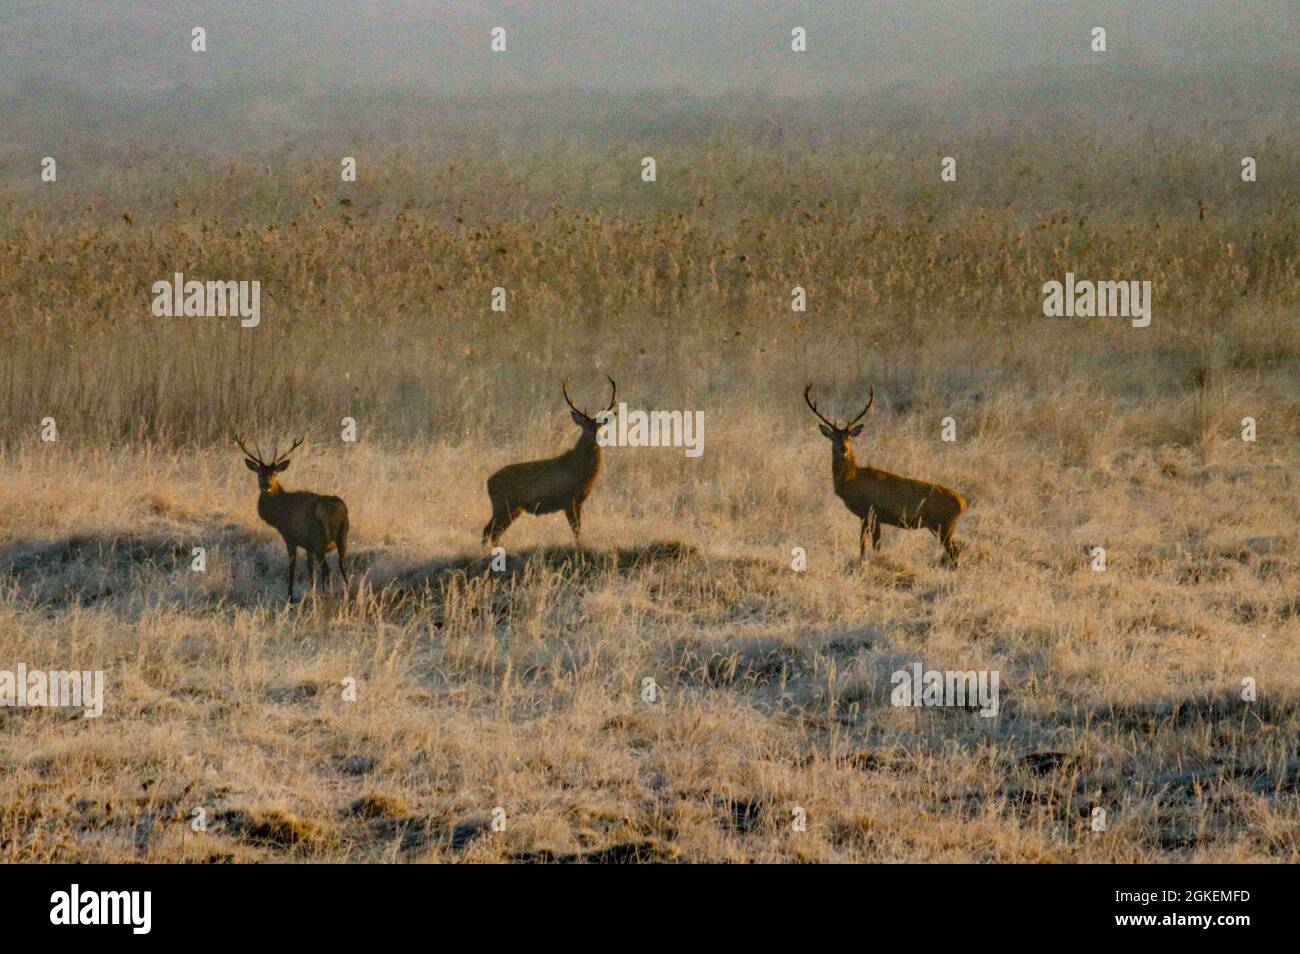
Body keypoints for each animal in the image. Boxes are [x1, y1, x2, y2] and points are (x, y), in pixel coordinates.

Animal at [234, 435, 350, 600]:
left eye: (275, 473)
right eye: (259, 473)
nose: (266, 485)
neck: (280, 515)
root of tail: (338, 510)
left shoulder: (291, 537)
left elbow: (292, 569)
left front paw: (289, 596)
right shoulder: (308, 545)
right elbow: (310, 570)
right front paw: (312, 592)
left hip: (320, 539)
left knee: (327, 570)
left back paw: (327, 596)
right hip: (342, 537)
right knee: (343, 567)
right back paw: (346, 594)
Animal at [482, 376, 617, 547]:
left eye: (600, 427)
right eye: (585, 427)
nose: (597, 438)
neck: (578, 470)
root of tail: (488, 482)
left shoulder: (579, 501)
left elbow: (579, 529)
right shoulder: (568, 499)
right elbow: (575, 529)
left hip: (513, 508)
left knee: (495, 532)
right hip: (502, 504)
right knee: (489, 530)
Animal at [804, 385, 967, 566]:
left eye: (850, 437)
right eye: (833, 438)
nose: (844, 449)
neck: (852, 481)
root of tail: (963, 503)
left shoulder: (871, 510)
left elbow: (870, 545)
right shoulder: (868, 515)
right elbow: (867, 545)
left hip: (943, 524)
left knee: (955, 551)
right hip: (941, 526)